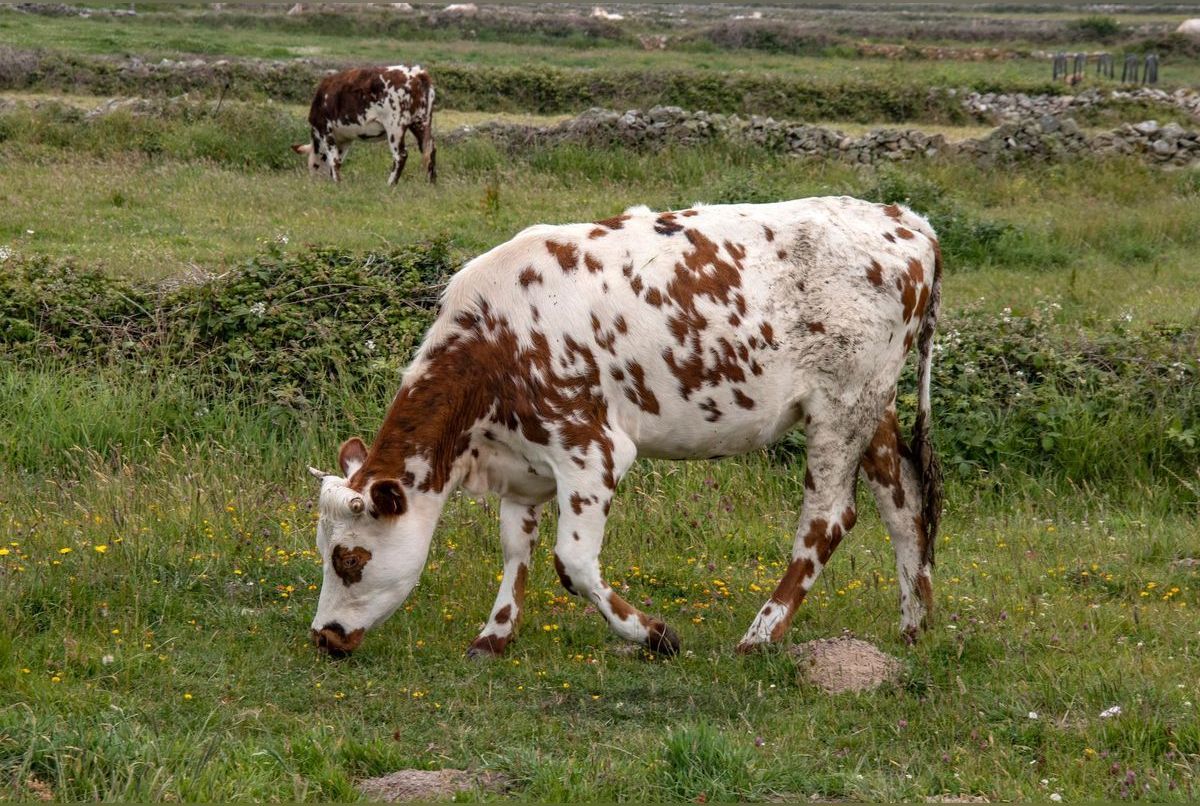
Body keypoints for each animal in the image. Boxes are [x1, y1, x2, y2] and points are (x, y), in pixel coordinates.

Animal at [291, 65, 436, 185]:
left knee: (401, 155)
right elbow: (339, 160)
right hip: (421, 122)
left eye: (314, 166)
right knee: (429, 149)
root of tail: (417, 73)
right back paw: (431, 183)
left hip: (395, 126)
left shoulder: (325, 130)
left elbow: (334, 160)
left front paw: (337, 184)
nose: (315, 183)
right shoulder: (344, 139)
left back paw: (390, 185)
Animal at [308, 196, 943, 659]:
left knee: (827, 519)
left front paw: (655, 635)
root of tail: (905, 219)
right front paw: (495, 635)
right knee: (904, 503)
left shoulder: (592, 450)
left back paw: (760, 635)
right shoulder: (522, 462)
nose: (325, 634)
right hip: (874, 403)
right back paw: (914, 628)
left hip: (840, 404)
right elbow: (516, 548)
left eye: (349, 559)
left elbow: (572, 563)